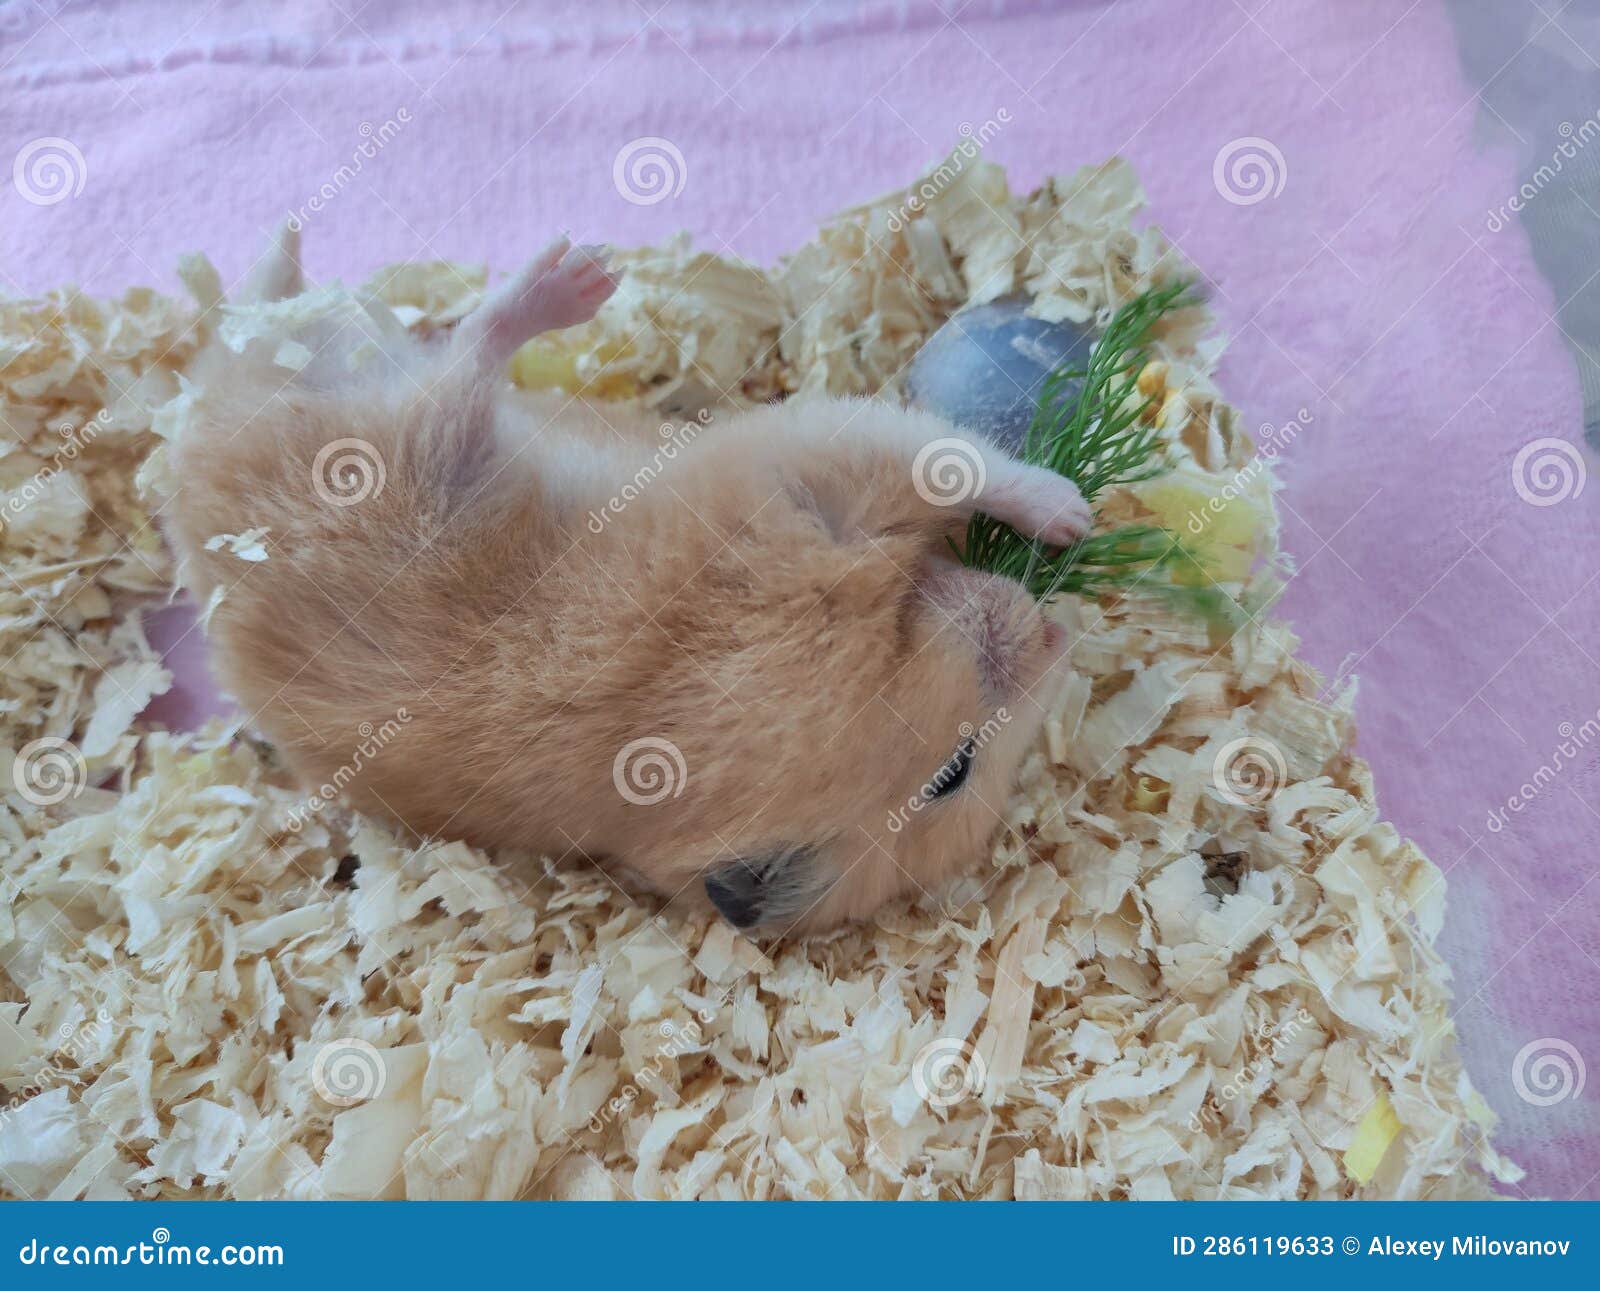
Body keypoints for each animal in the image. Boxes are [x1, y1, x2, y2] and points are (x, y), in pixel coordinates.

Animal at [163, 228, 1092, 935]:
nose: (1063, 638)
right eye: (955, 772)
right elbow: (952, 461)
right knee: (456, 371)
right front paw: (1076, 513)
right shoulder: (814, 484)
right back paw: (575, 275)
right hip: (413, 467)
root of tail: (196, 461)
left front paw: (1074, 523)